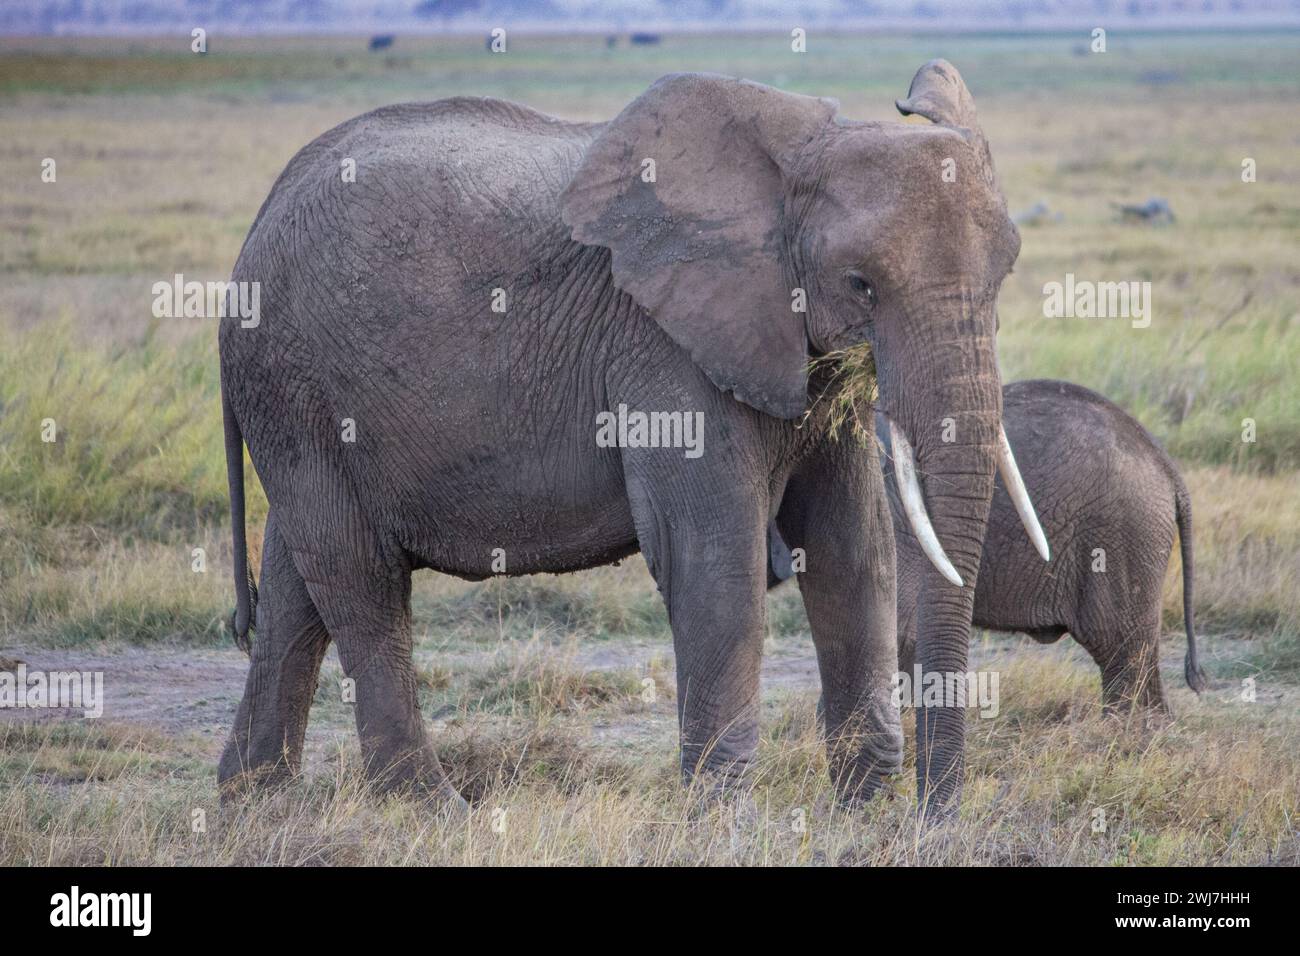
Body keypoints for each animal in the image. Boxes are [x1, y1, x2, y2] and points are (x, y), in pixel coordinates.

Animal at [218, 60, 1043, 813]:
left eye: (1006, 275)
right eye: (862, 284)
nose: (936, 816)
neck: (792, 160)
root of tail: (250, 236)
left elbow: (852, 550)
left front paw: (866, 816)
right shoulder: (662, 345)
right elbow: (713, 559)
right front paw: (726, 823)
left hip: (297, 399)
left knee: (299, 586)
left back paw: (251, 801)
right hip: (294, 381)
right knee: (361, 582)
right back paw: (433, 812)